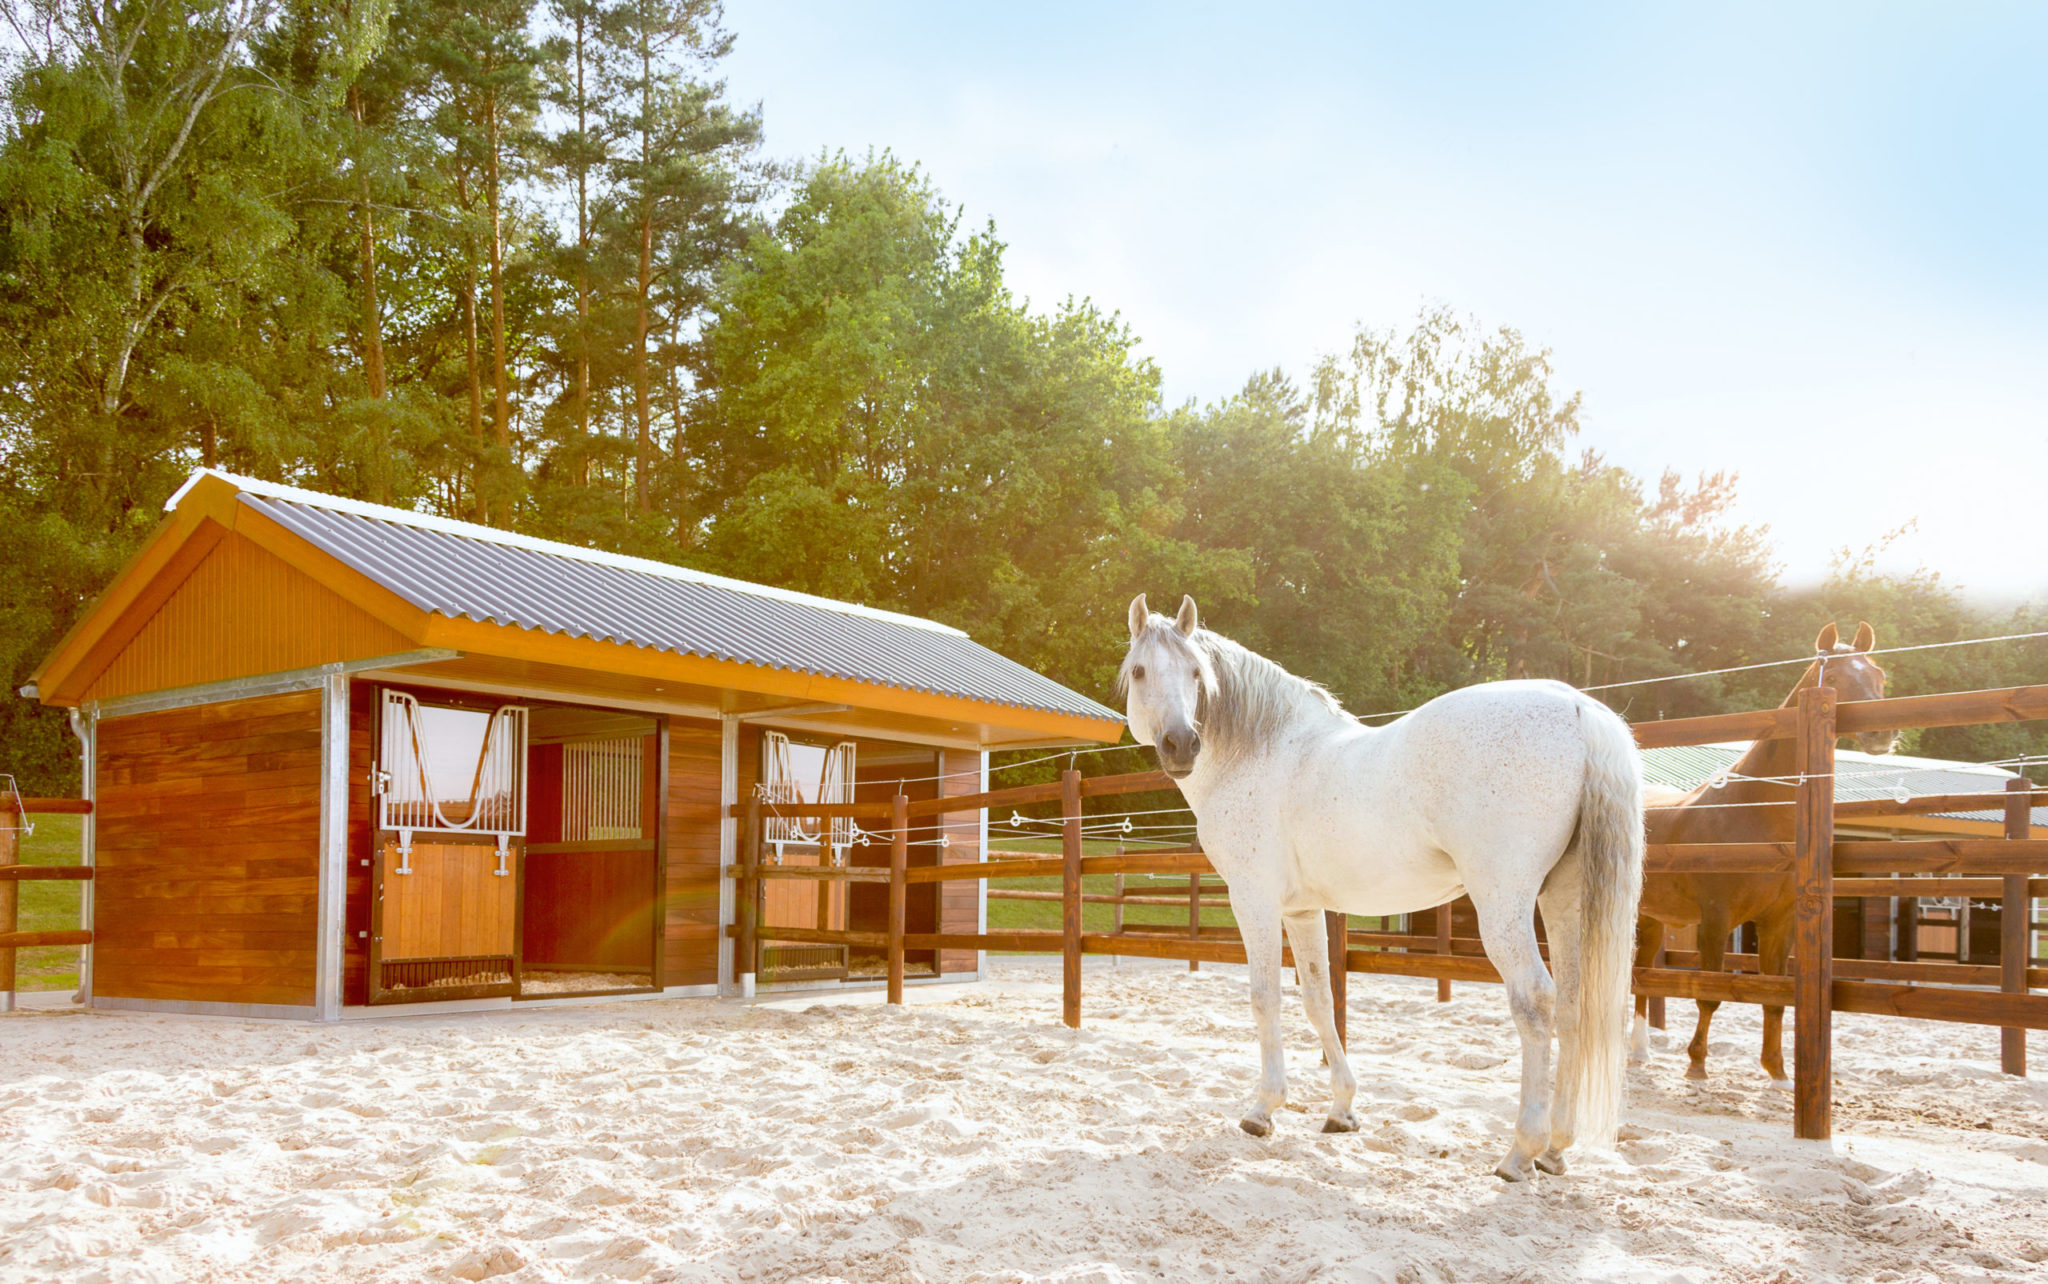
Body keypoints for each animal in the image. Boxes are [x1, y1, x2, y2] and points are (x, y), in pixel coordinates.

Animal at [1119, 593, 1645, 1181]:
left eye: (1195, 672)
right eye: (1140, 671)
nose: (1182, 744)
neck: (1262, 752)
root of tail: (1578, 709)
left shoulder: (1253, 901)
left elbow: (1265, 998)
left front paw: (1263, 1110)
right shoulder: (1302, 912)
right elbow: (1319, 1000)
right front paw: (1341, 1108)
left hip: (1503, 902)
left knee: (1535, 1001)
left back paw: (1520, 1152)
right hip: (1563, 898)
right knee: (1575, 1003)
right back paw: (1556, 1147)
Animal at [1632, 621, 1896, 1083]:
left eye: (1878, 675)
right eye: (1838, 676)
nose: (1882, 733)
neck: (1752, 810)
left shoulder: (1779, 923)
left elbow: (1775, 996)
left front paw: (1777, 1071)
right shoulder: (1716, 920)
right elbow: (1710, 993)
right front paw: (1697, 1064)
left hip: (1650, 917)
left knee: (1641, 975)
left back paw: (1638, 1052)